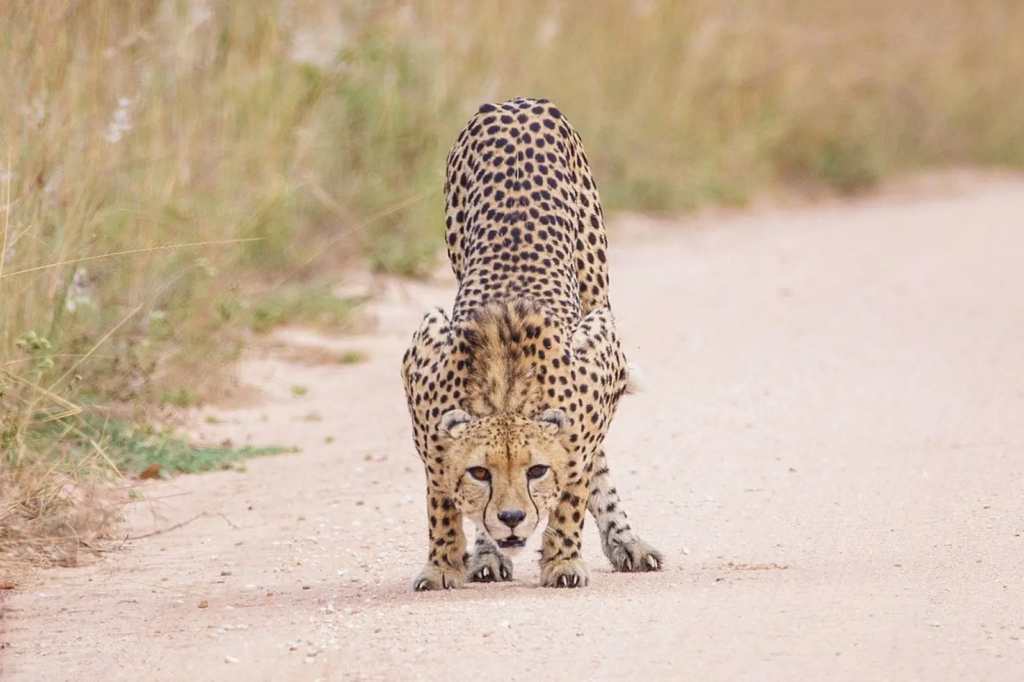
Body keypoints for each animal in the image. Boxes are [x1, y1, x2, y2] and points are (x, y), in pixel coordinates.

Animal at [401, 97, 662, 591]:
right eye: (480, 472)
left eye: (536, 470)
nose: (511, 518)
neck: (504, 393)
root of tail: (515, 103)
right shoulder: (422, 375)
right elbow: (440, 495)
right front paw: (445, 563)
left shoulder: (600, 359)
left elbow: (576, 485)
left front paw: (562, 560)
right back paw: (488, 554)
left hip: (595, 283)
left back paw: (624, 541)